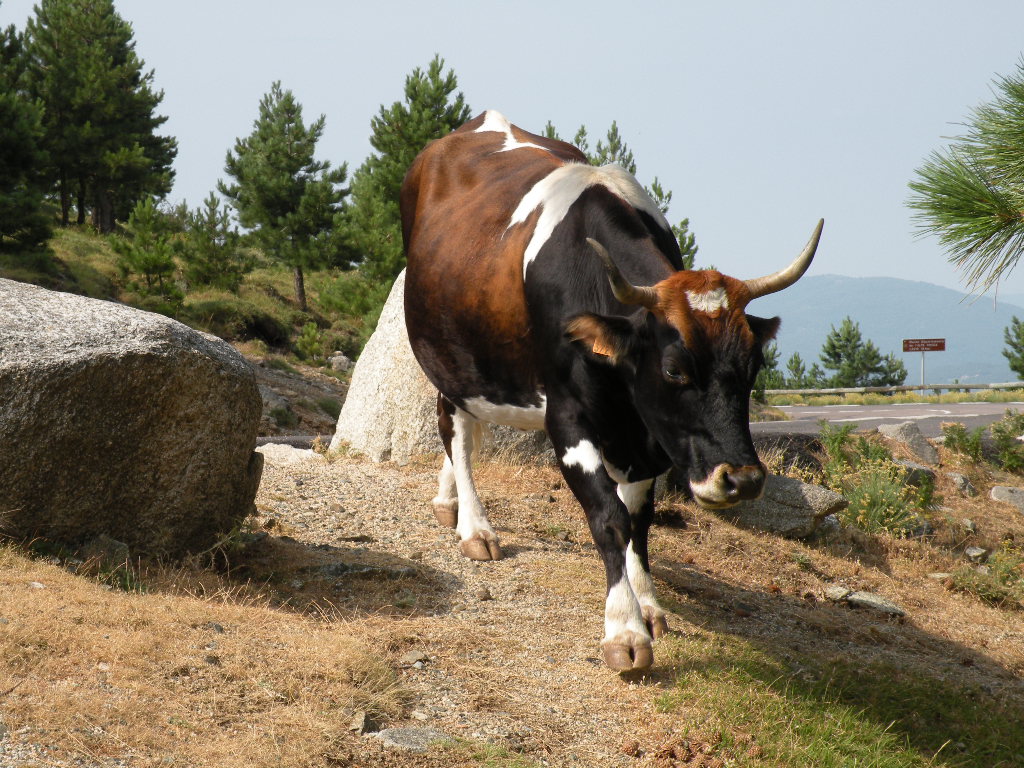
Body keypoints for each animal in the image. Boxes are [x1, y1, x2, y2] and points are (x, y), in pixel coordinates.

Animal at [401, 110, 822, 674]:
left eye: (753, 365)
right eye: (673, 370)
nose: (743, 479)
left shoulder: (649, 438)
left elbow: (639, 521)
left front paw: (648, 603)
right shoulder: (568, 418)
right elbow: (609, 518)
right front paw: (624, 629)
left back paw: (448, 501)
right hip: (447, 352)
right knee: (458, 429)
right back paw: (474, 525)